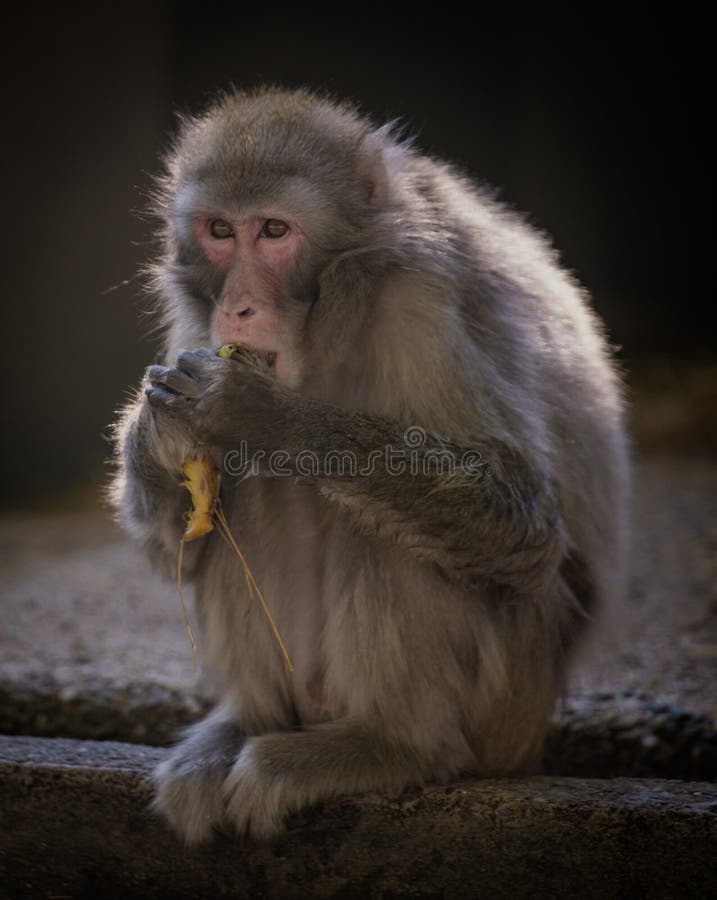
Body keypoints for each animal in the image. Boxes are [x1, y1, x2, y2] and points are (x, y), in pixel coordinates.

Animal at [110, 86, 629, 843]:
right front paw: (156, 432)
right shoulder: (196, 322)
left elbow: (526, 521)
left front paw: (262, 416)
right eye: (219, 231)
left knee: (384, 526)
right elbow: (183, 537)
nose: (238, 305)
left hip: (509, 702)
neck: (335, 315)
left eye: (273, 230)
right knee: (256, 495)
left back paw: (391, 746)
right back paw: (247, 726)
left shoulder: (421, 299)